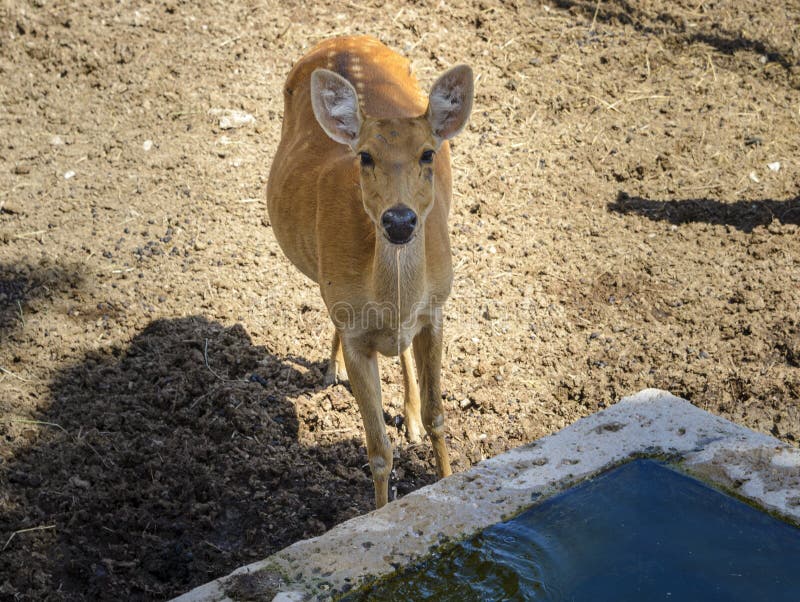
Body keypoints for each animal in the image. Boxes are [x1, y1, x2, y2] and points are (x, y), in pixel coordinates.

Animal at [267, 35, 473, 509]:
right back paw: (330, 370)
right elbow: (378, 450)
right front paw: (380, 513)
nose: (399, 220)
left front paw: (446, 478)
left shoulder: (436, 309)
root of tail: (341, 38)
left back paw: (408, 418)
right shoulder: (355, 330)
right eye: (365, 156)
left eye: (427, 153)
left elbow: (438, 416)